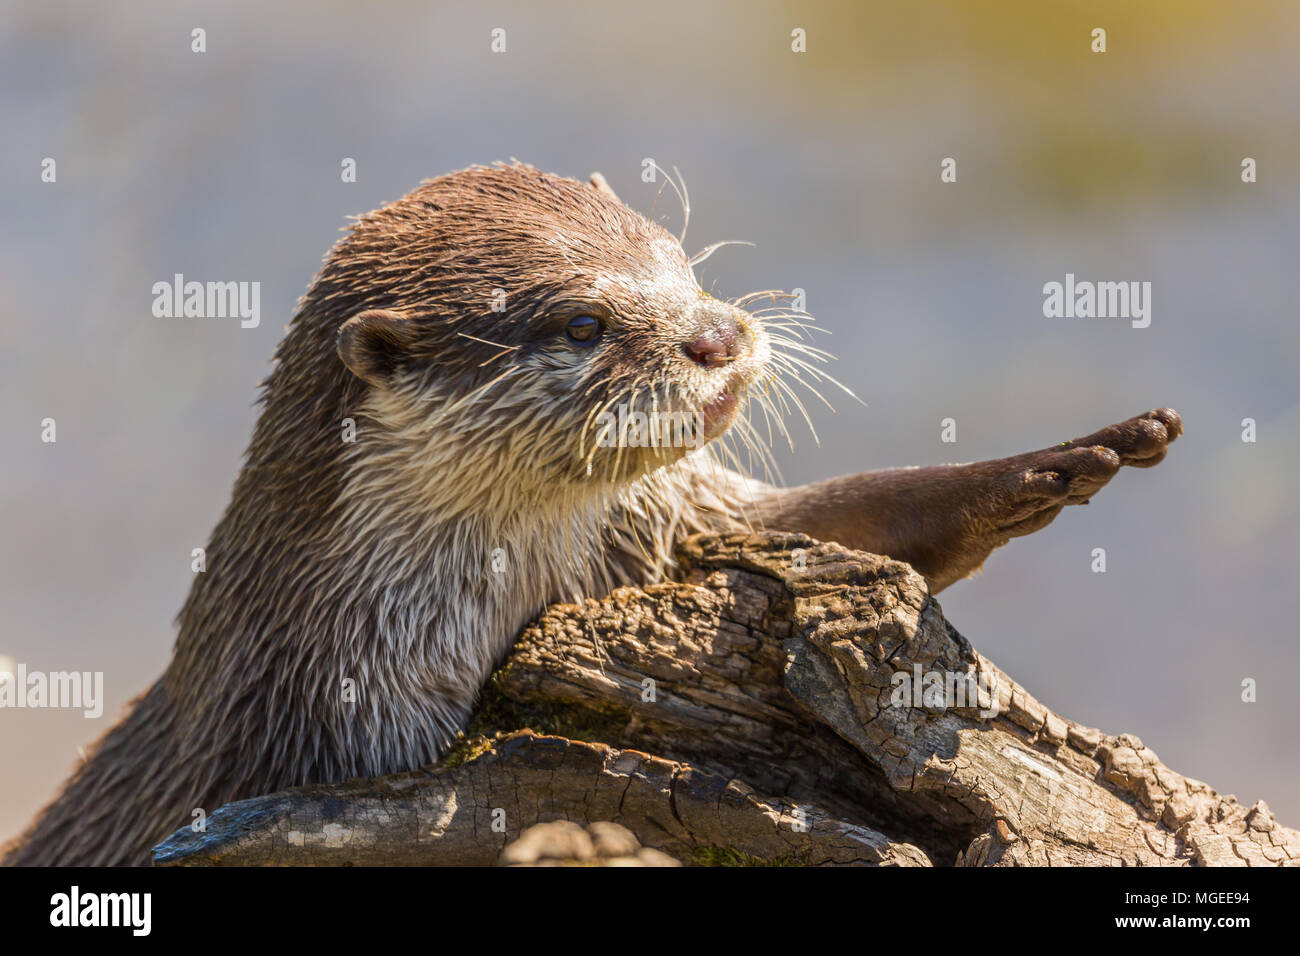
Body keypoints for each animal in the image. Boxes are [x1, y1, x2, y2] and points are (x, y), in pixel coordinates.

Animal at [4, 162, 1180, 866]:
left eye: (678, 258)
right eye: (579, 324)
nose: (716, 335)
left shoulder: (673, 517)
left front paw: (1062, 463)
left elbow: (843, 520)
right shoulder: (338, 715)